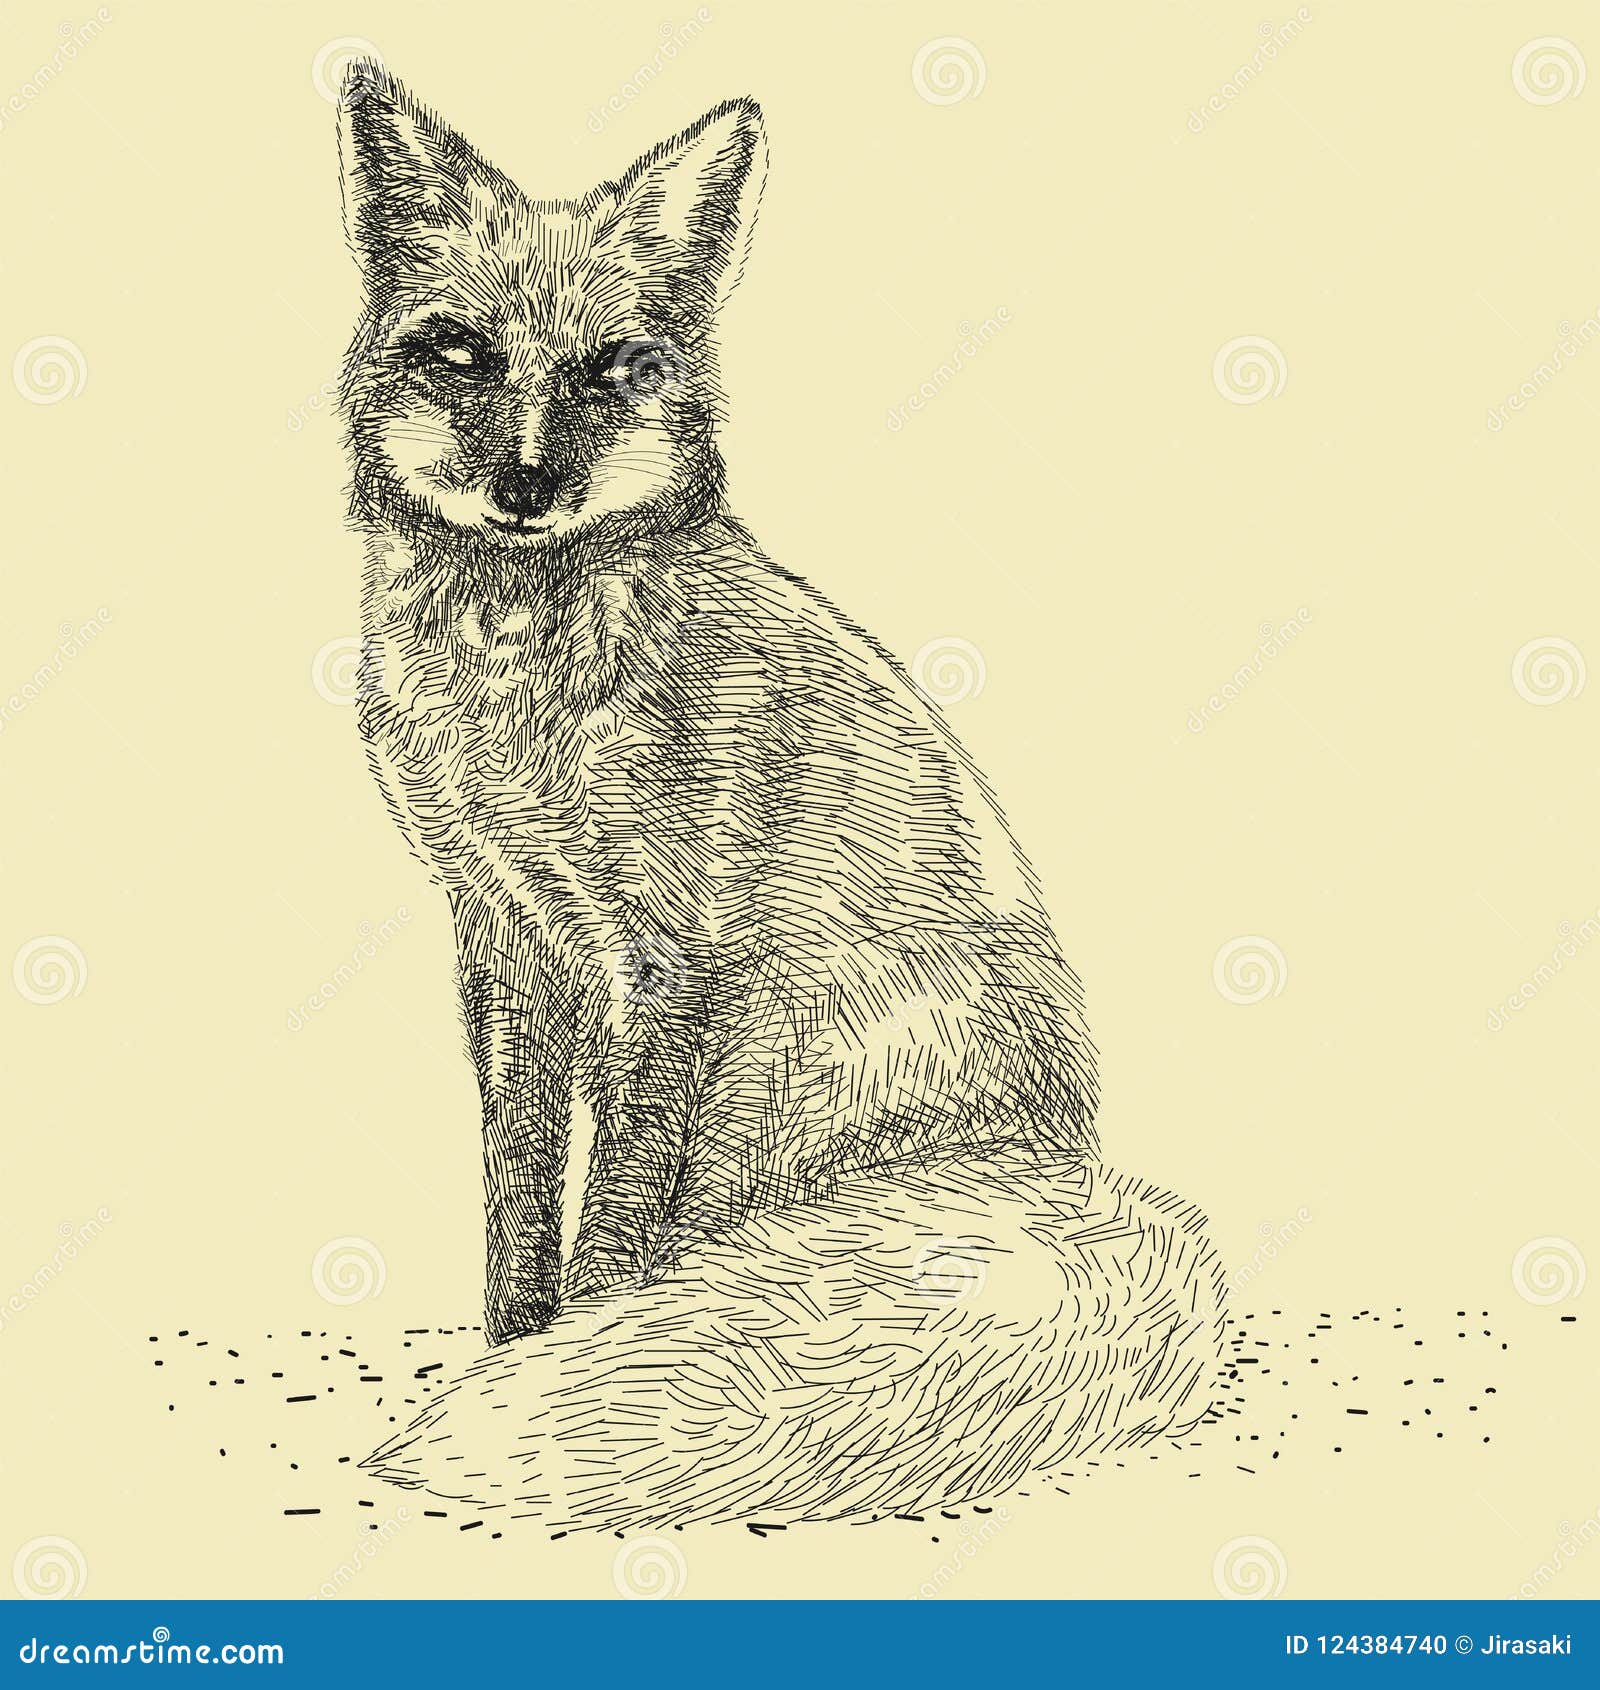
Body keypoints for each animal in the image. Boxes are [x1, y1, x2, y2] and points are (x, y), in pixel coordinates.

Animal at [335, 66, 1225, 1530]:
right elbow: (517, 1192)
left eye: (615, 369)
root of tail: (1085, 1182)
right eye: (460, 353)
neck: (509, 688)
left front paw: (567, 1361)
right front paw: (513, 1346)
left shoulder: (661, 963)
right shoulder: (504, 935)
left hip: (765, 1095)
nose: (528, 486)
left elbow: (611, 1225)